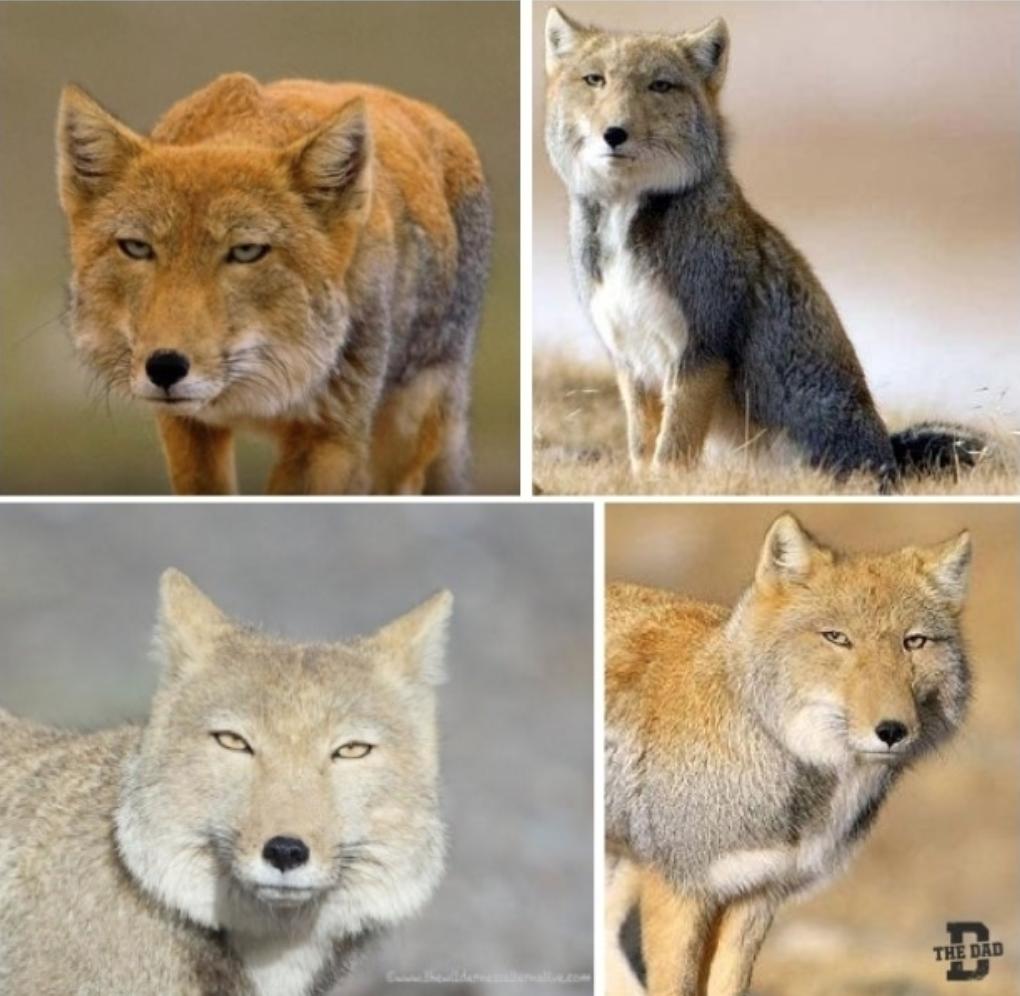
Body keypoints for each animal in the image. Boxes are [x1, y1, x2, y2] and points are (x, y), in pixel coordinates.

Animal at [56, 73, 491, 495]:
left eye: (247, 251)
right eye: (137, 248)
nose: (165, 367)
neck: (254, 398)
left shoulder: (323, 437)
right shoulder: (186, 425)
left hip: (398, 443)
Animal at [544, 8, 985, 490]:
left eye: (659, 85)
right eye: (595, 80)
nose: (615, 133)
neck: (626, 221)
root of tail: (888, 458)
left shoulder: (700, 349)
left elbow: (672, 449)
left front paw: (664, 486)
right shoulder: (631, 359)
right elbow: (643, 448)